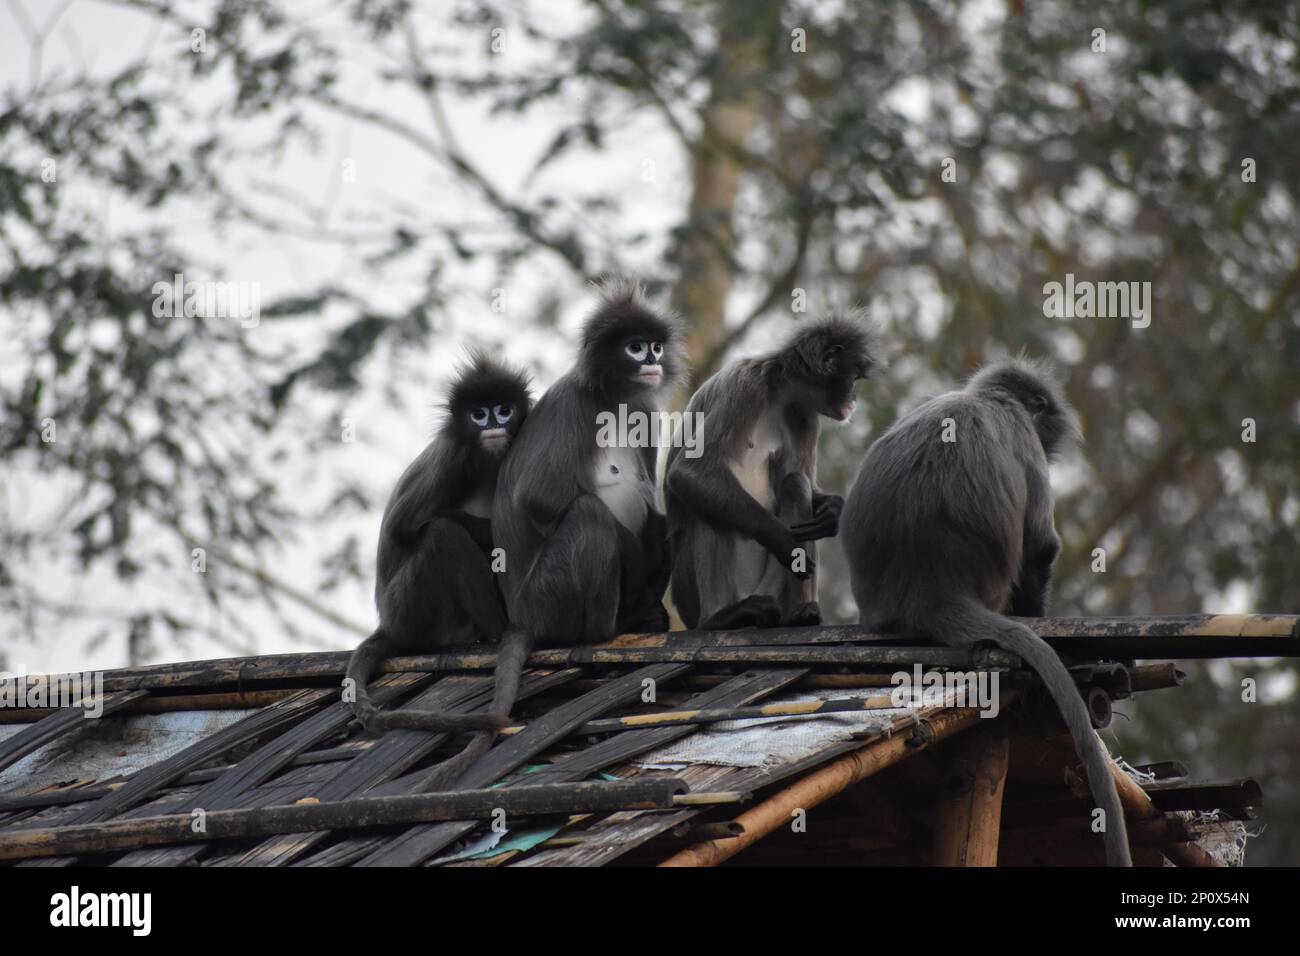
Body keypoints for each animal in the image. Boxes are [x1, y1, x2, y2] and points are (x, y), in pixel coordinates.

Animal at [343, 350, 532, 735]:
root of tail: (387, 624)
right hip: (410, 611)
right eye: (478, 414)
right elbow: (402, 528)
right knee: (443, 532)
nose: (492, 425)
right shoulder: (451, 459)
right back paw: (497, 631)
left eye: (504, 409)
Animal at [665, 315, 876, 630]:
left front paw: (833, 509)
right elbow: (688, 472)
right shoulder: (746, 386)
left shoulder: (803, 415)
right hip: (689, 591)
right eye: (852, 379)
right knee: (704, 503)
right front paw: (783, 541)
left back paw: (800, 615)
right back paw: (721, 618)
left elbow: (799, 481)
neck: (778, 393)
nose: (854, 398)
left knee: (795, 483)